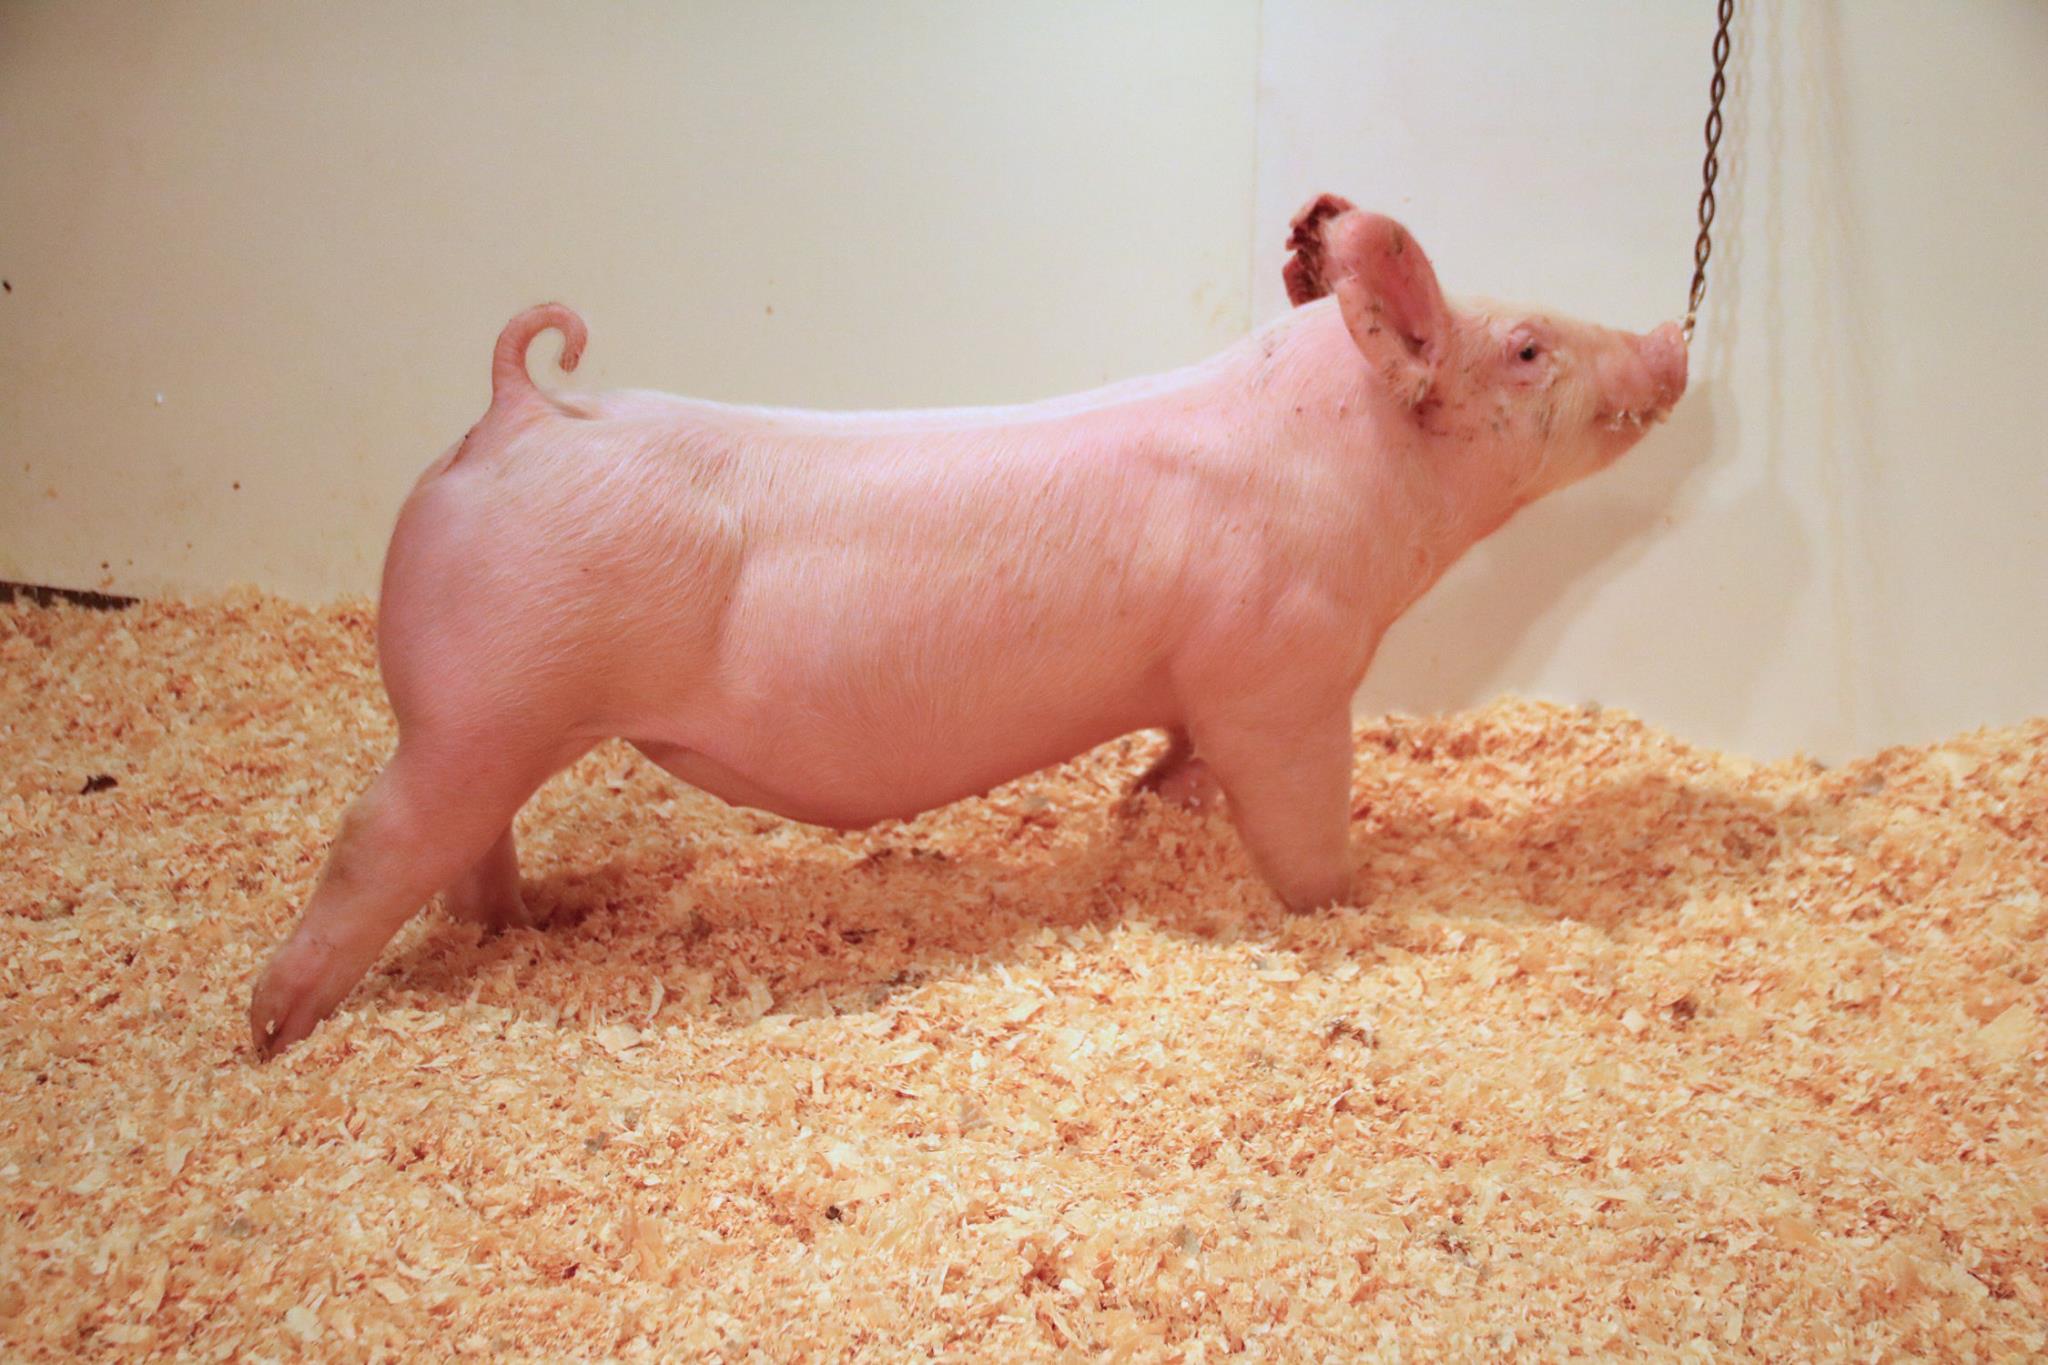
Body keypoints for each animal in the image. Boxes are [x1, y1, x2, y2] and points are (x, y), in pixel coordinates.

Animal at [250, 194, 1686, 1055]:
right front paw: (1352, 903)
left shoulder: (1204, 685)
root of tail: (517, 413)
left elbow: (1173, 762)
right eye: (1526, 349)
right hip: (479, 709)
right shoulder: (1282, 673)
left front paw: (1149, 810)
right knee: (377, 840)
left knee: (467, 848)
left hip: (497, 721)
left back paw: (527, 929)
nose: (1673, 340)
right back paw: (273, 1028)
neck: (1353, 477)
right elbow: (1295, 814)